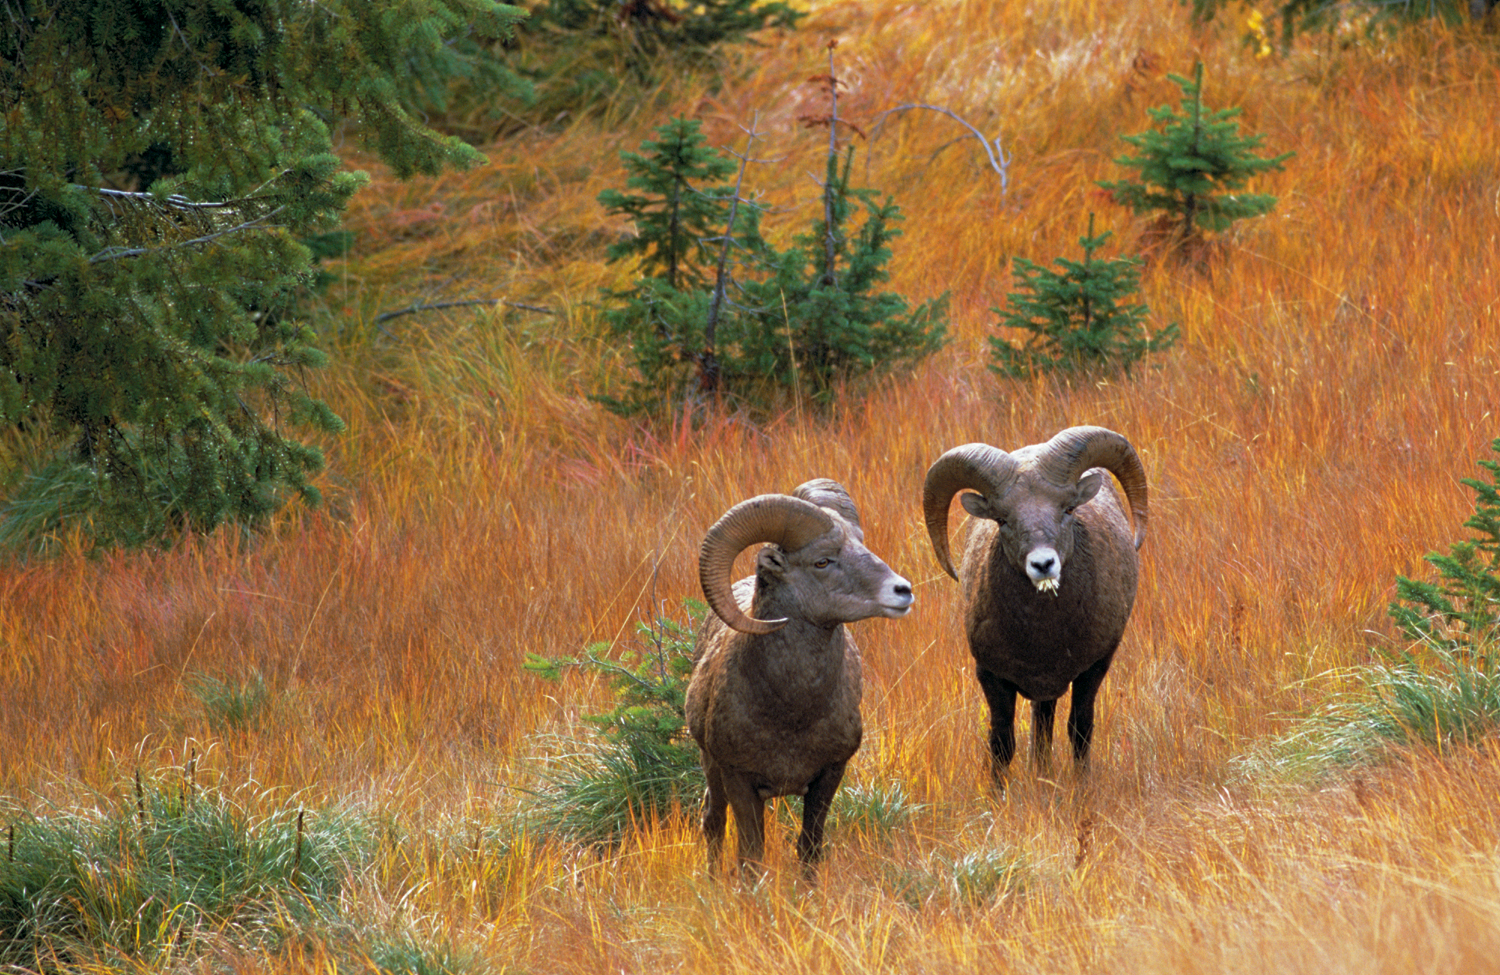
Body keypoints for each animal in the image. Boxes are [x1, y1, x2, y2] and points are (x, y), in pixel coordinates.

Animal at [686, 479, 914, 875]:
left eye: (861, 542)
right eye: (822, 561)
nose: (902, 590)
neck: (791, 714)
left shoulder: (829, 775)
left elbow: (809, 847)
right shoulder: (739, 779)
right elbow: (751, 856)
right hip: (710, 767)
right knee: (713, 821)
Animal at [922, 426, 1149, 786]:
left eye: (1068, 509)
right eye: (1002, 519)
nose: (1043, 564)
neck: (1043, 638)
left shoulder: (1093, 668)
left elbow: (1079, 730)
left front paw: (1082, 790)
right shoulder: (992, 676)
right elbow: (1001, 743)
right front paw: (997, 795)